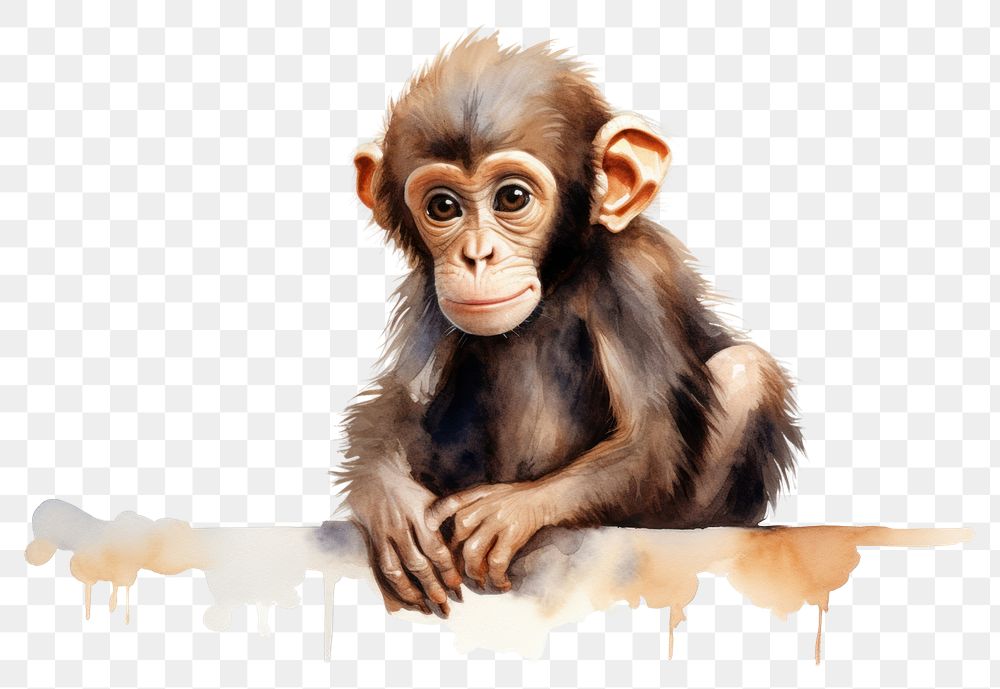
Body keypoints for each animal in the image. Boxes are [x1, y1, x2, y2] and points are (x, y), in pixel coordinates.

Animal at [334, 34, 802, 616]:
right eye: (442, 207)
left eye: (512, 198)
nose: (475, 255)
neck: (561, 272)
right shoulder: (426, 293)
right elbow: (400, 399)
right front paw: (390, 500)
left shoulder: (636, 280)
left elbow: (650, 441)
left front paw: (513, 511)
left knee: (746, 370)